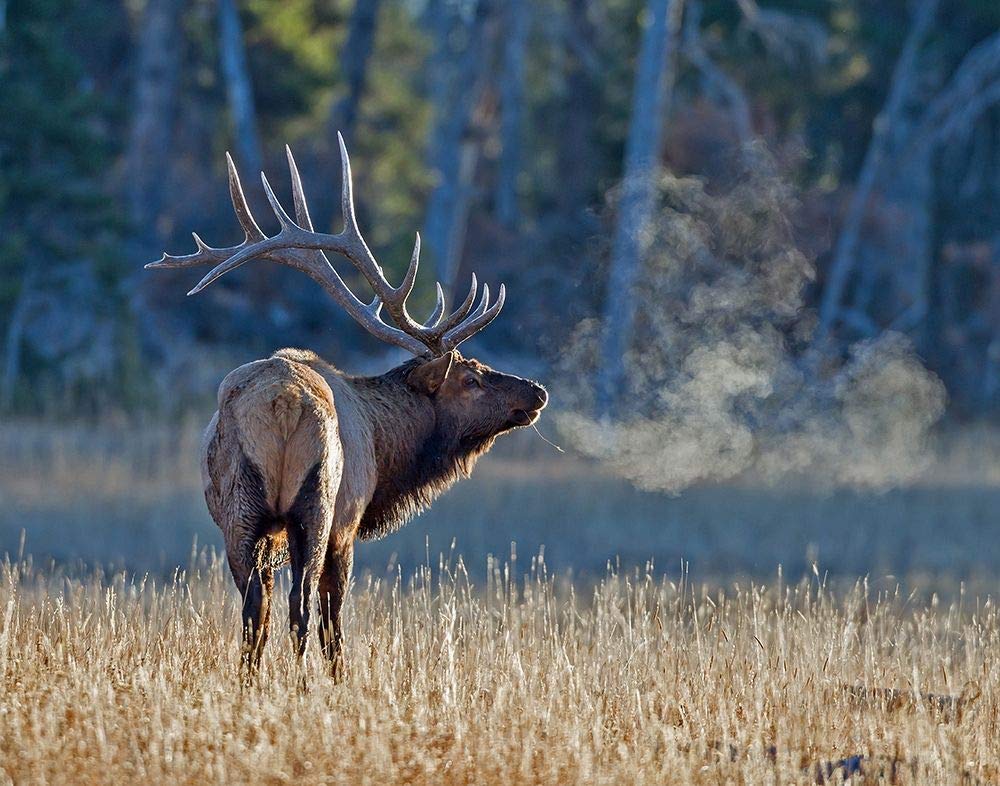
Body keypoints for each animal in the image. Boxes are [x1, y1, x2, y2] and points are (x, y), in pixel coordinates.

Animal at [146, 135, 547, 677]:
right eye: (471, 378)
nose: (537, 392)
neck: (384, 446)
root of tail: (283, 404)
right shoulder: (348, 524)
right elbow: (332, 620)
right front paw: (340, 677)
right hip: (317, 505)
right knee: (301, 607)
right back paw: (303, 681)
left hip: (239, 510)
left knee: (255, 609)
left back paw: (250, 679)